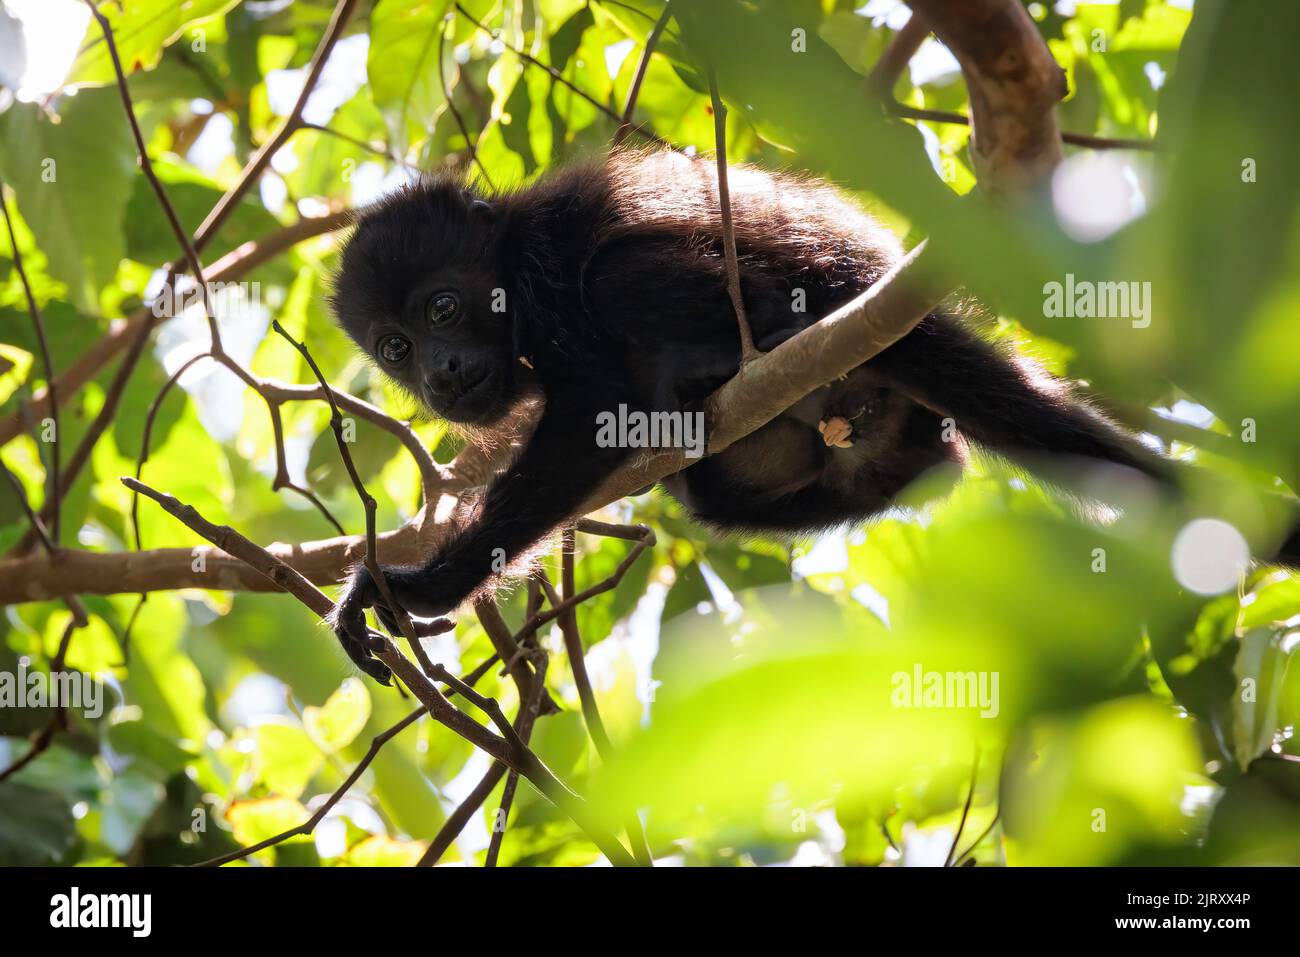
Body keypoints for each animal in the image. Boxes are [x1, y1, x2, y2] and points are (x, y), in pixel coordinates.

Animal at [328, 149, 1172, 684]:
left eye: (443, 307)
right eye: (396, 347)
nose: (438, 373)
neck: (505, 256)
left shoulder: (542, 277)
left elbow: (594, 410)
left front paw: (419, 589)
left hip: (803, 289)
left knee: (622, 270)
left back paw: (728, 354)